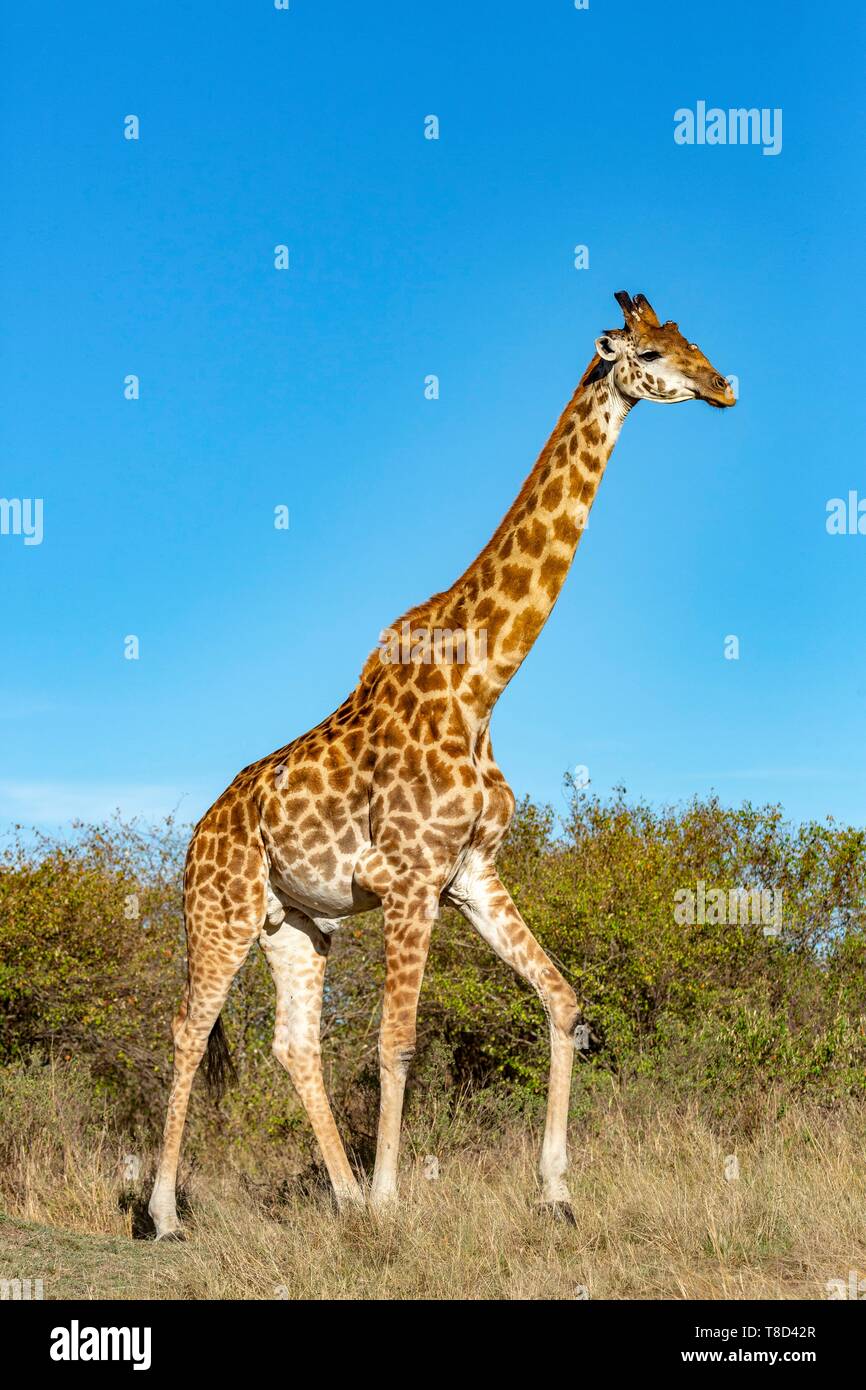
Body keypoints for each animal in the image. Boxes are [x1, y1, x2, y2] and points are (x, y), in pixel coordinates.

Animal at [149, 290, 735, 1236]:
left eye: (690, 338)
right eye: (649, 351)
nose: (724, 386)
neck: (484, 682)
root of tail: (197, 834)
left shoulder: (472, 873)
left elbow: (563, 1000)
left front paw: (556, 1193)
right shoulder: (411, 878)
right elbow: (397, 1042)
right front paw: (395, 1203)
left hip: (296, 924)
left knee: (293, 1044)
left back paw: (343, 1197)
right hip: (221, 911)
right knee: (189, 1033)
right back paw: (167, 1215)